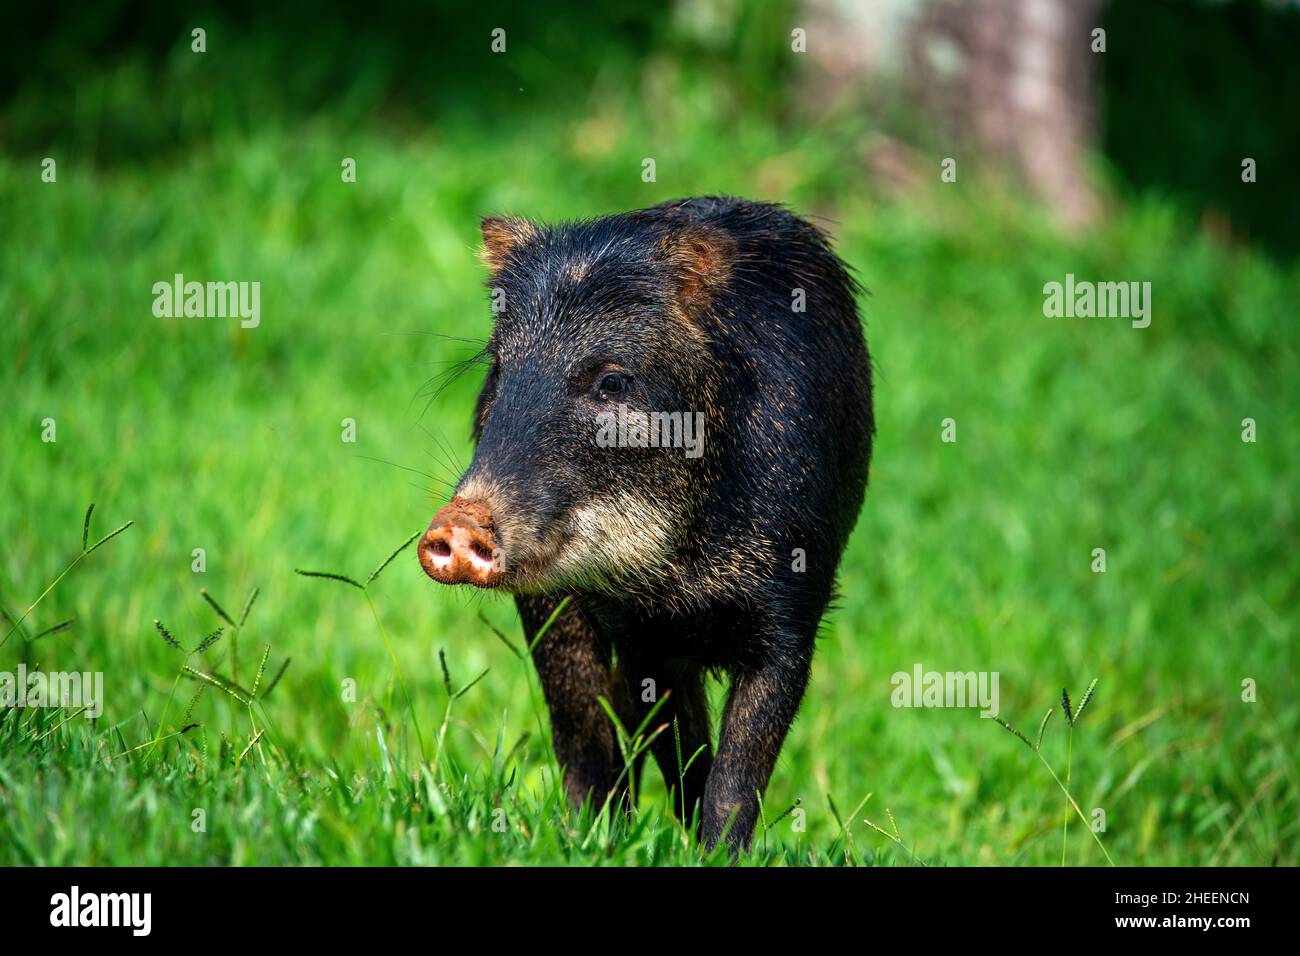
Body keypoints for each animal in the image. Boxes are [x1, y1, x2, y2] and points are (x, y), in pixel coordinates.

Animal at [419, 196, 873, 851]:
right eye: (500, 371)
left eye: (612, 381)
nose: (459, 521)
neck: (685, 570)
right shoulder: (639, 636)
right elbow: (672, 750)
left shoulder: (792, 616)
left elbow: (736, 776)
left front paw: (718, 852)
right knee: (583, 734)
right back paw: (587, 836)